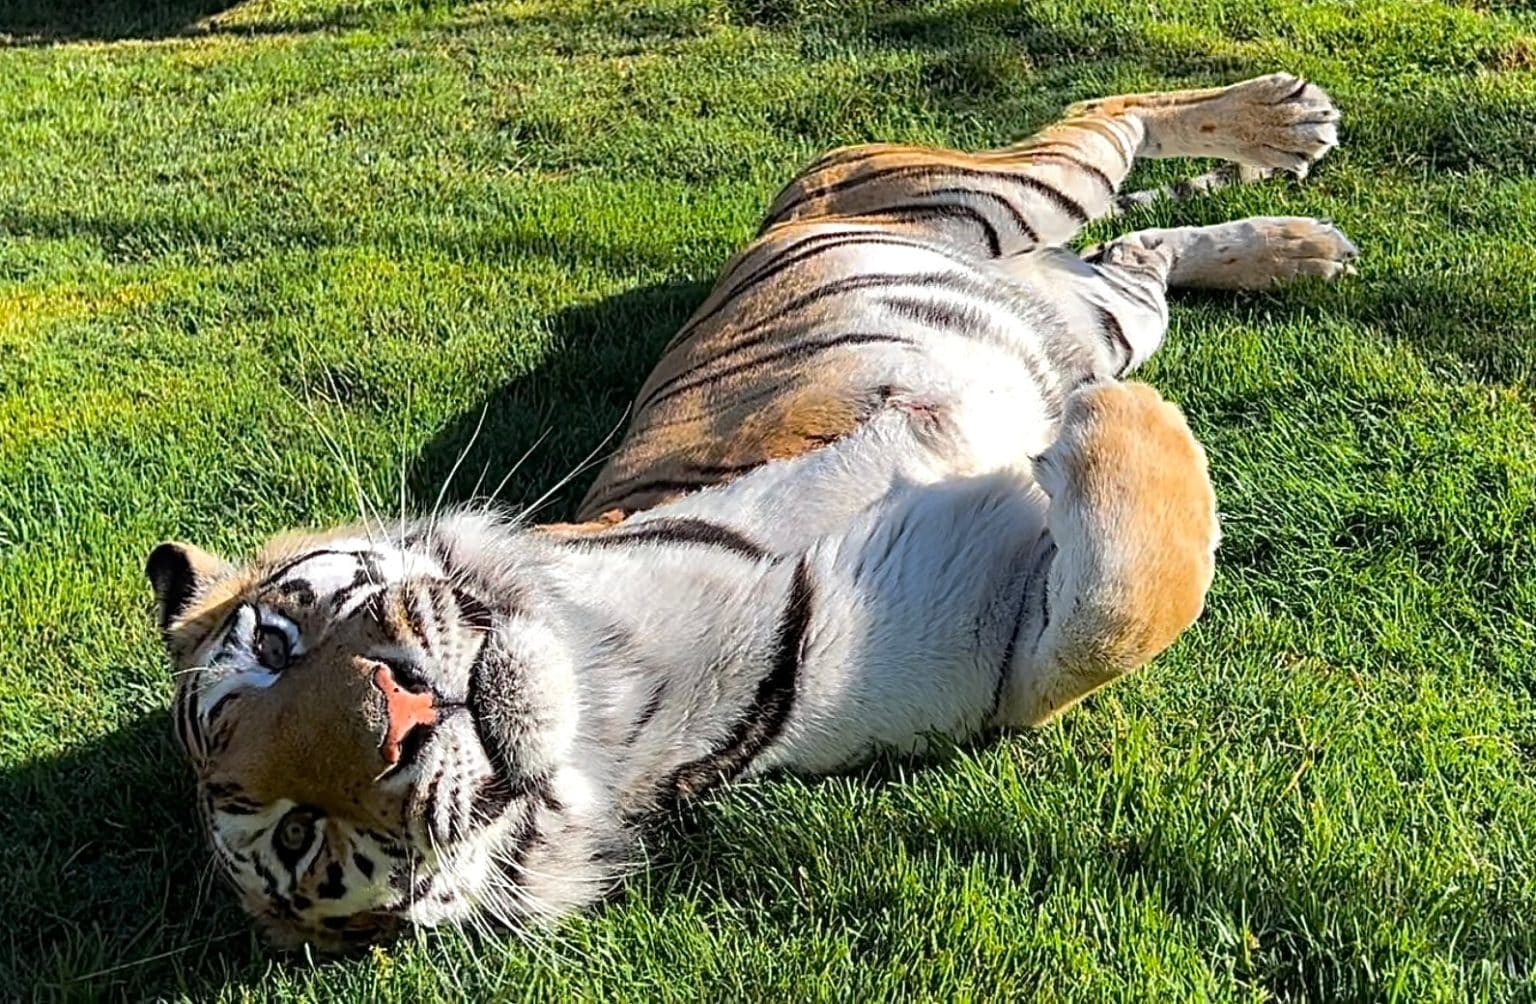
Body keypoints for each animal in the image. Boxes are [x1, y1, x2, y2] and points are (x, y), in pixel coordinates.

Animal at [146, 72, 1354, 950]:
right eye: (302, 838)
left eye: (277, 639)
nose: (399, 714)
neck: (626, 690)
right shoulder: (1013, 657)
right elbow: (1116, 607)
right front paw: (1105, 420)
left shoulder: (908, 428)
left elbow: (1114, 563)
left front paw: (1074, 425)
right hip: (1104, 295)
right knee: (1137, 254)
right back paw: (1293, 245)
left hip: (1006, 195)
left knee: (1112, 119)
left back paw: (1285, 119)